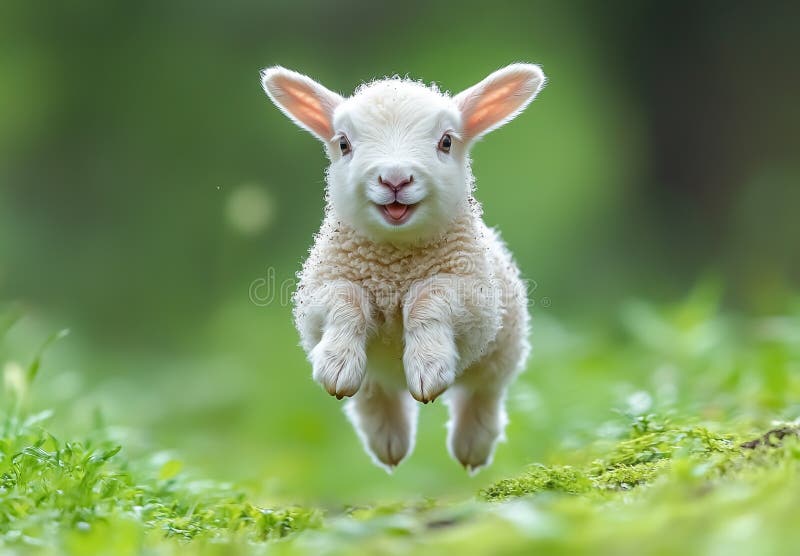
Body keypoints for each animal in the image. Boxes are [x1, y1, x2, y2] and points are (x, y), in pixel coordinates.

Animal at [260, 63, 545, 472]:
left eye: (446, 142)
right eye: (343, 143)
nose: (395, 179)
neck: (395, 266)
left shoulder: (472, 297)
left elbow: (429, 299)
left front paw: (427, 368)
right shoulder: (320, 292)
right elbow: (346, 301)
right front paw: (335, 366)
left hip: (501, 349)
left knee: (482, 394)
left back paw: (471, 447)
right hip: (378, 375)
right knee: (372, 395)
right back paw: (388, 442)